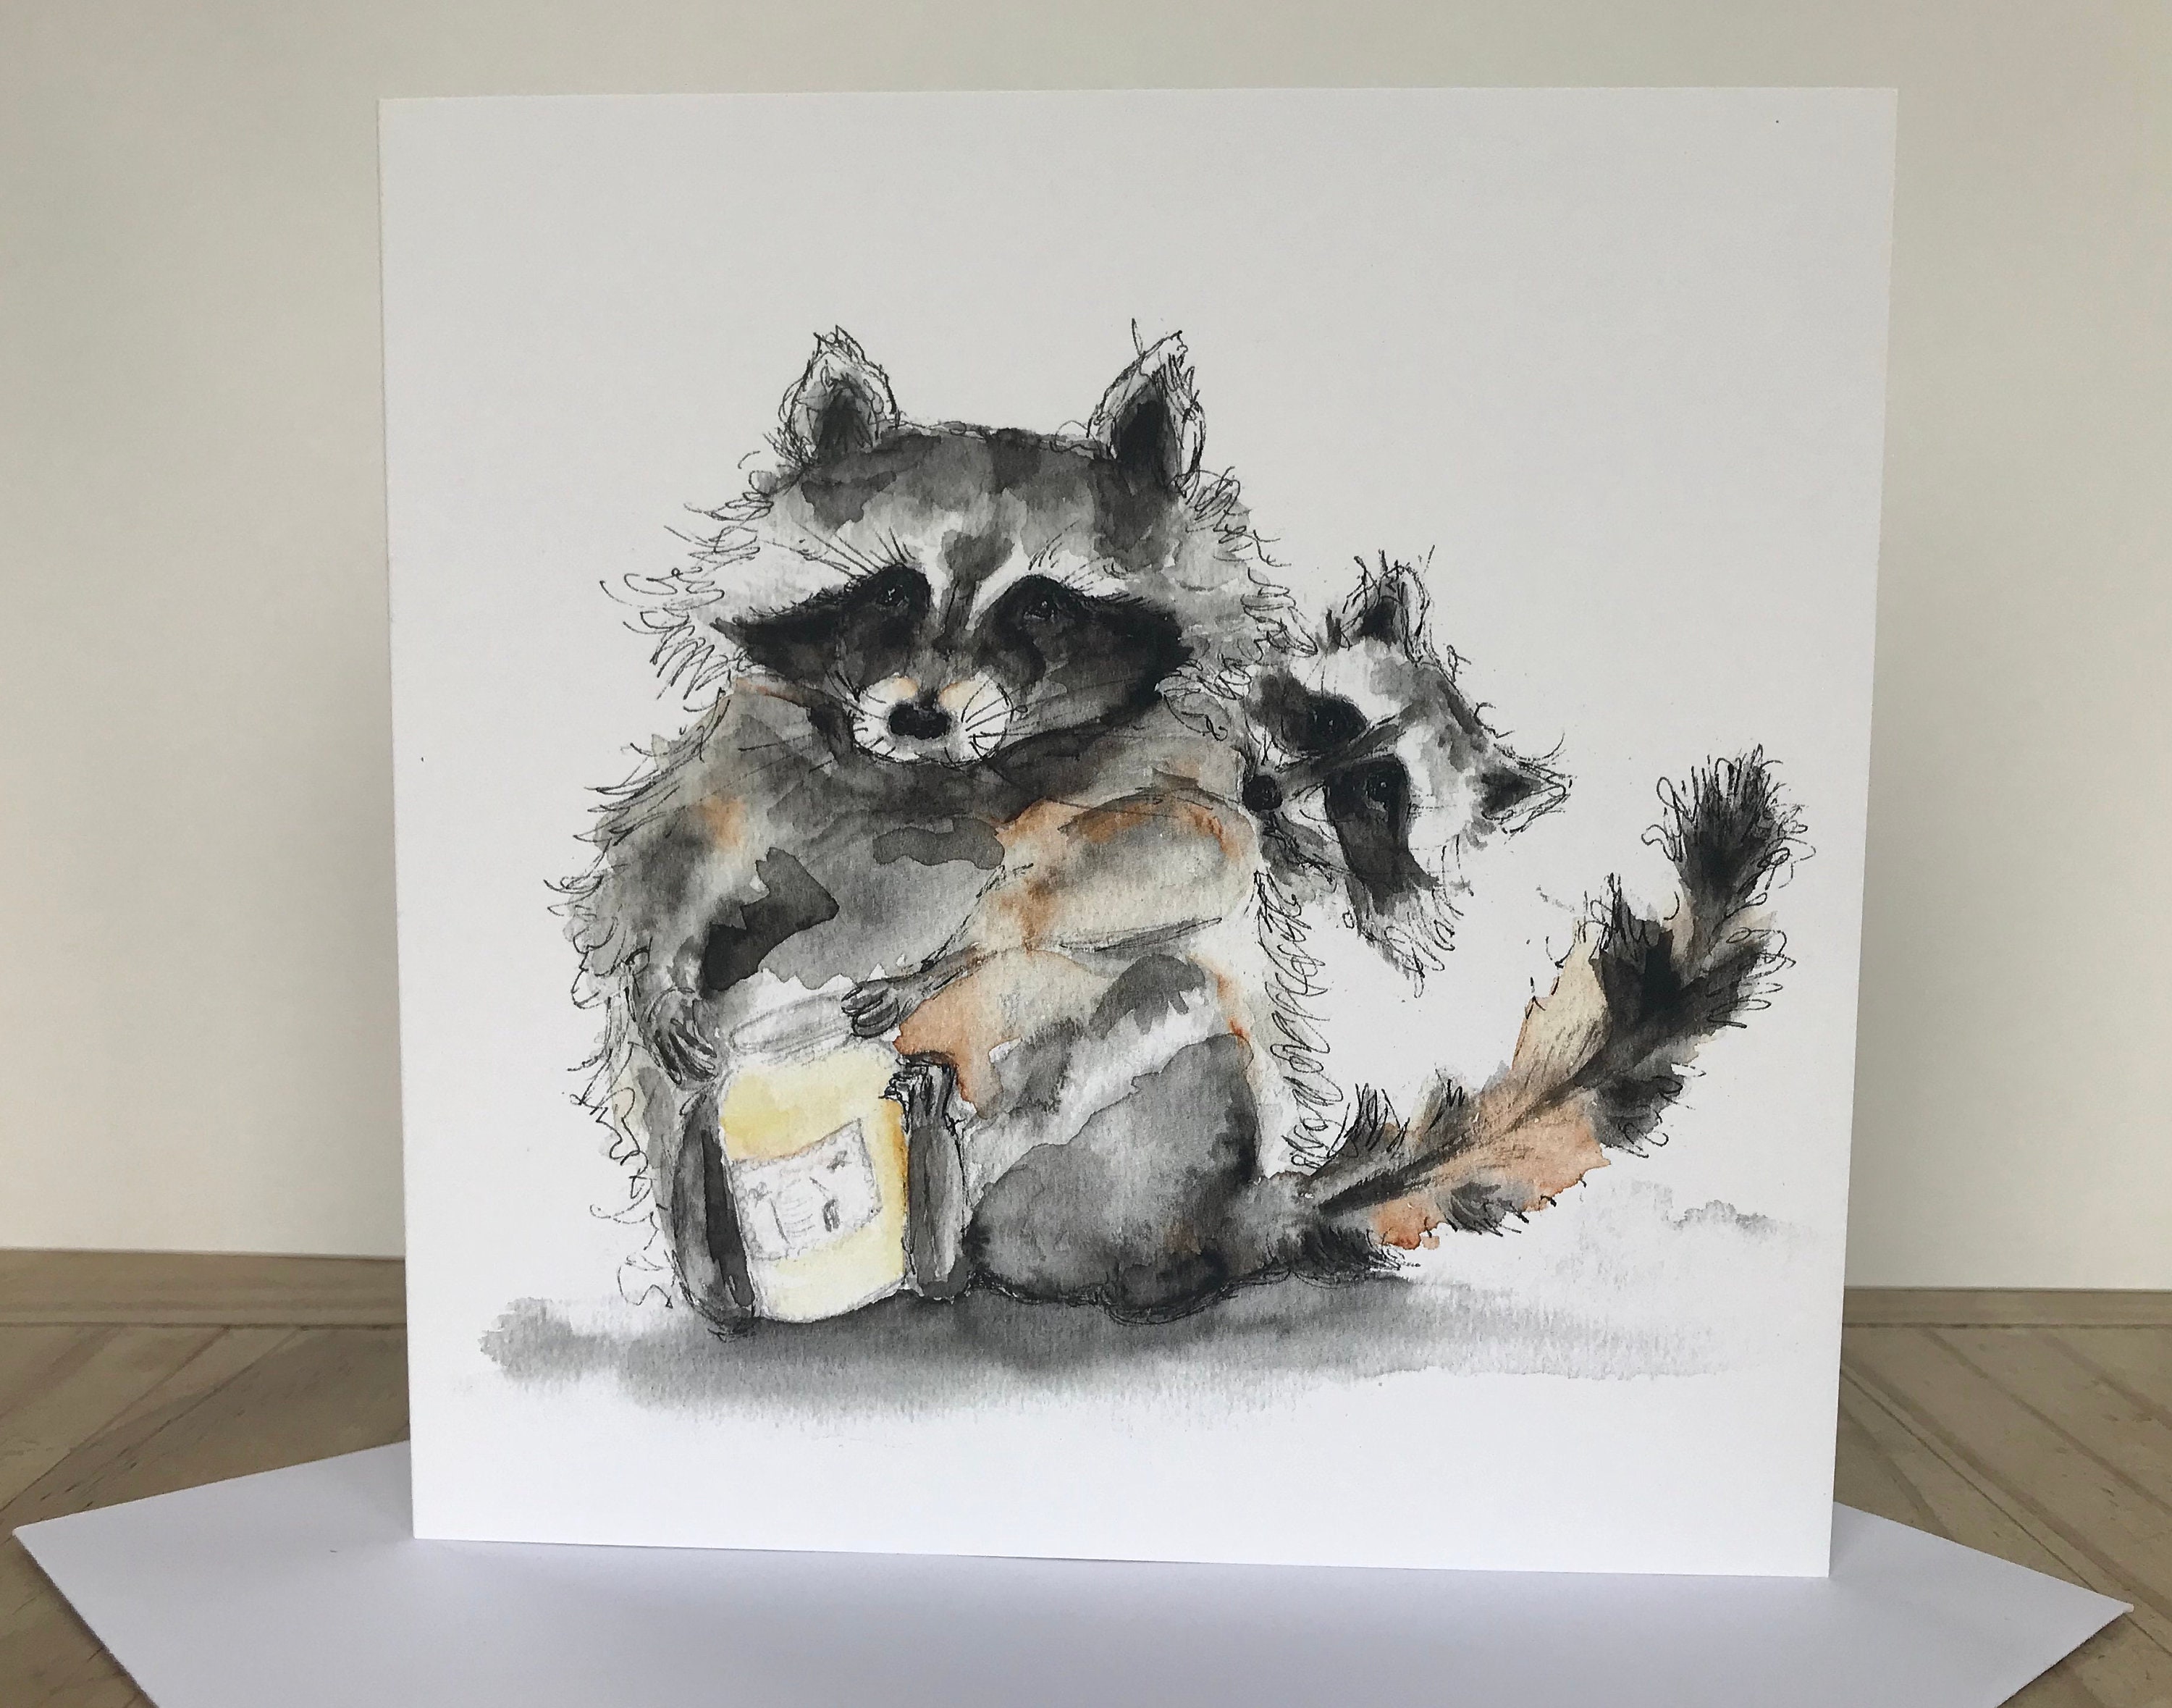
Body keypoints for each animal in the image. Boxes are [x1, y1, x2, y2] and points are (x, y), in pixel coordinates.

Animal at [563, 329, 1290, 1328]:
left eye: (1041, 603)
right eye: (894, 592)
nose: (918, 717)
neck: (937, 776)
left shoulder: (1175, 751)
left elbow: (1194, 844)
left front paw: (964, 943)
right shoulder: (751, 738)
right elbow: (674, 842)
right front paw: (661, 962)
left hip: (1128, 1130)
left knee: (1165, 1005)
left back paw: (996, 1226)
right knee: (680, 1105)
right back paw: (715, 1246)